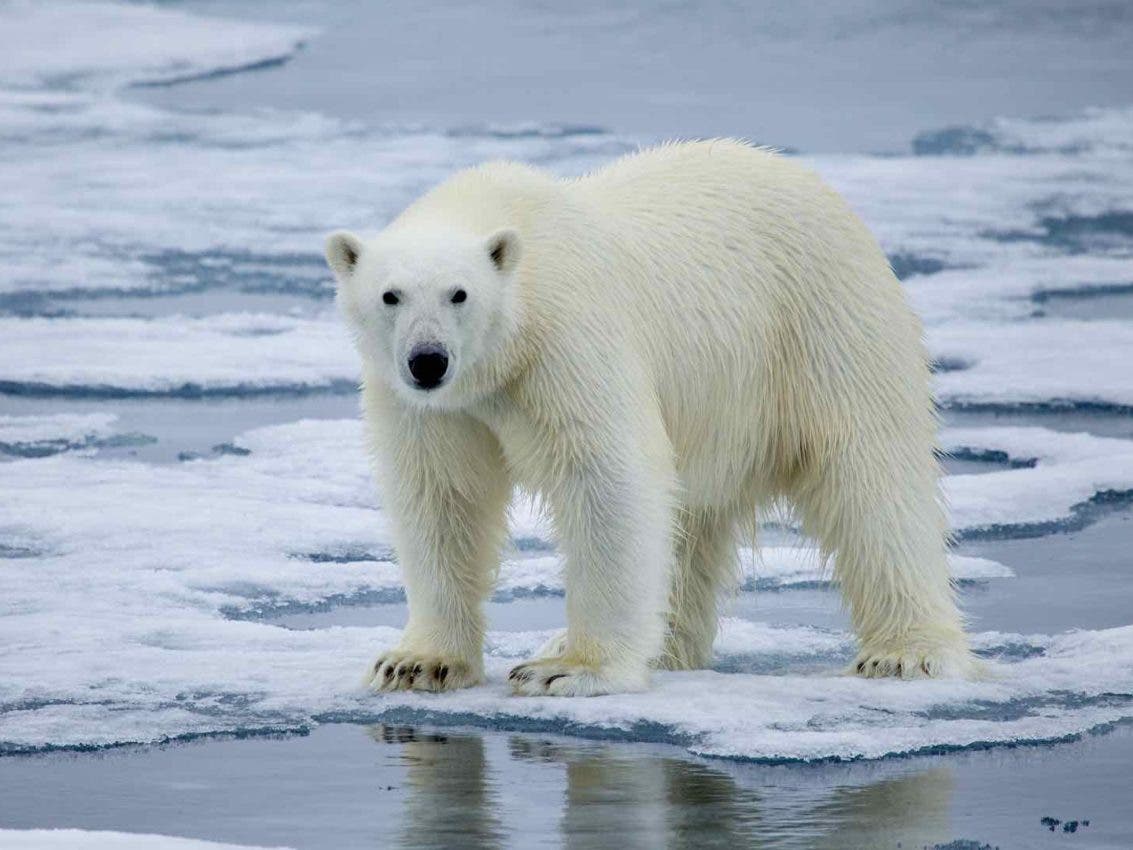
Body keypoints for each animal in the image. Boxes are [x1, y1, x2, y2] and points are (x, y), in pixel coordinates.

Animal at [325, 139, 974, 697]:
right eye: (390, 295)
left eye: (459, 293)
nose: (428, 360)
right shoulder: (429, 406)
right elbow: (440, 496)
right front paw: (417, 663)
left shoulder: (568, 341)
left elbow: (607, 480)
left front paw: (569, 669)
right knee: (690, 523)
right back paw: (662, 645)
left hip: (822, 327)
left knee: (870, 478)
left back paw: (904, 653)